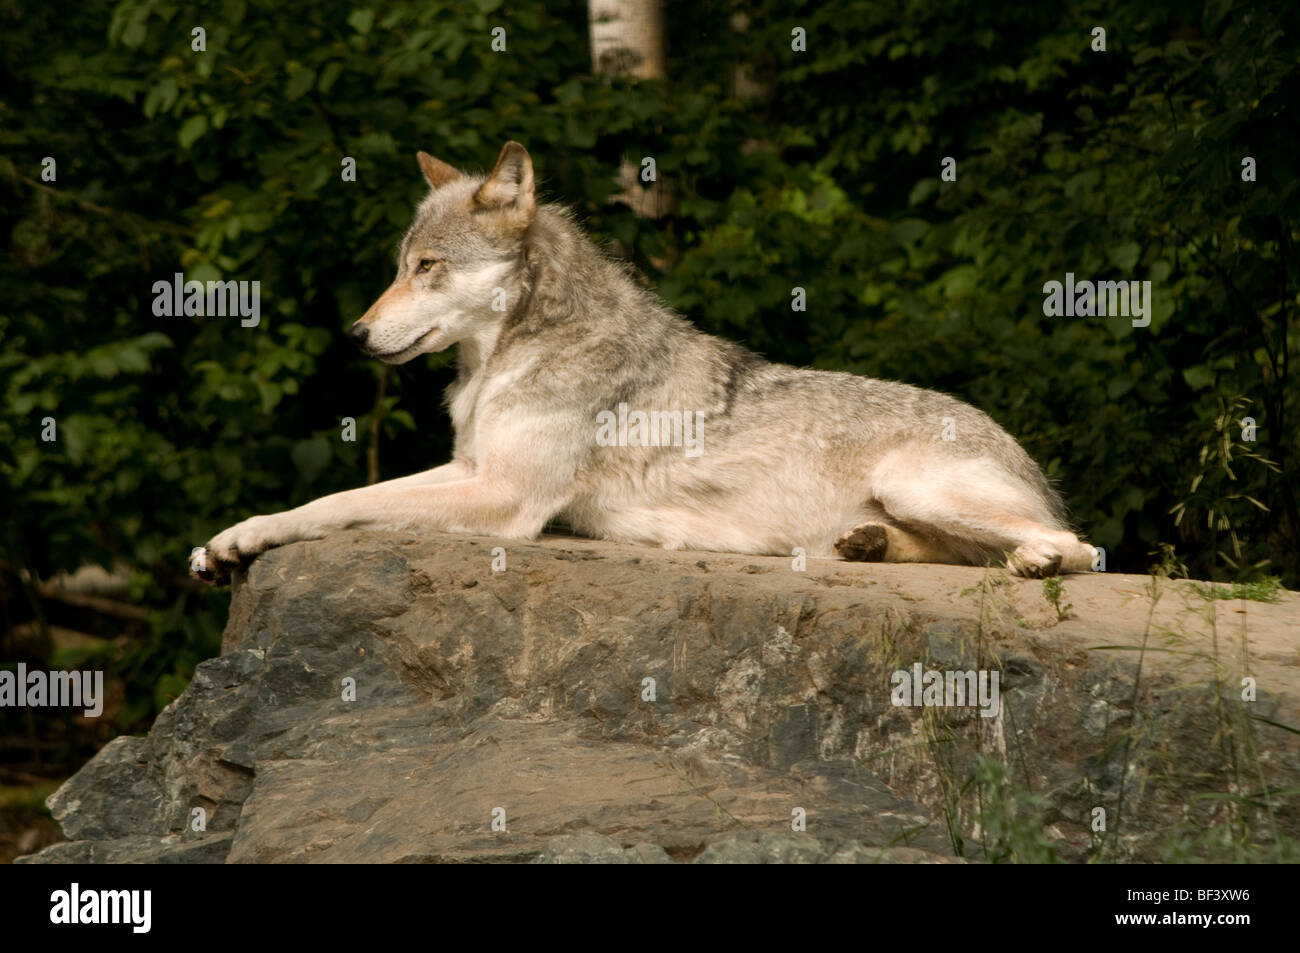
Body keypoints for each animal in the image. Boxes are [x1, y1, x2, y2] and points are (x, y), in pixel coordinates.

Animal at [192, 141, 1096, 584]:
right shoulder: (474, 469)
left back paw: (1037, 558)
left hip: (925, 487)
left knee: (1079, 545)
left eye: (427, 267)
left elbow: (339, 501)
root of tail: (1026, 454)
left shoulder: (504, 495)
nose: (354, 333)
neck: (503, 365)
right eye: (398, 266)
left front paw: (242, 537)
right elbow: (346, 496)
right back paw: (867, 547)